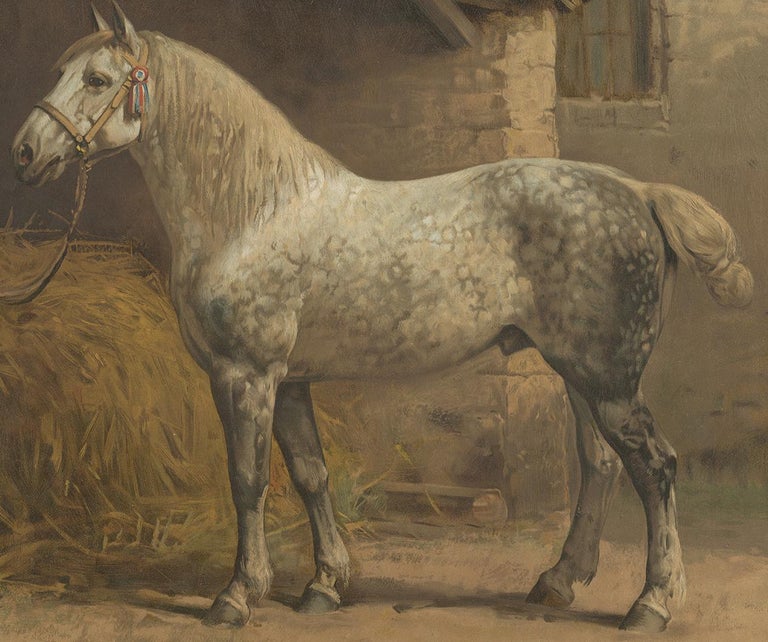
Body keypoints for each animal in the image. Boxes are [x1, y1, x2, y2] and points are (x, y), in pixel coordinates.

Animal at [11, 3, 753, 633]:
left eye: (98, 79)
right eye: (59, 73)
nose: (24, 154)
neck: (253, 212)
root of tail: (639, 191)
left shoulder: (245, 374)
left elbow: (248, 480)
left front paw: (236, 596)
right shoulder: (290, 380)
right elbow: (310, 475)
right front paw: (324, 586)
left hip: (607, 378)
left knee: (654, 466)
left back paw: (652, 603)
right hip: (579, 372)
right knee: (600, 464)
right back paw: (558, 582)